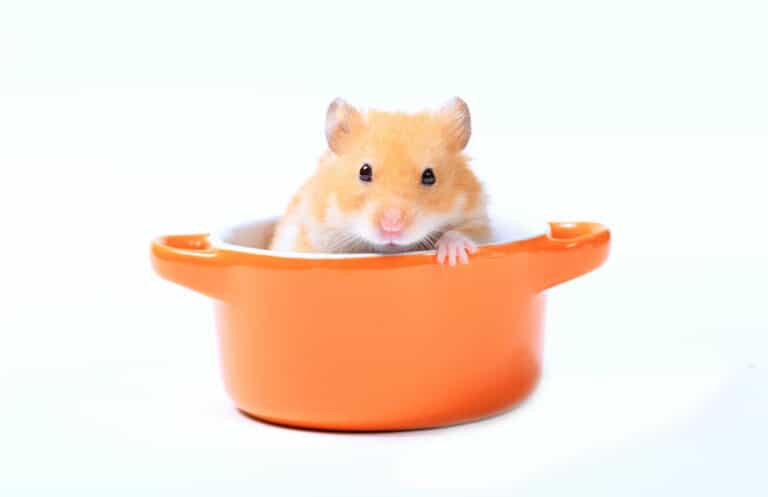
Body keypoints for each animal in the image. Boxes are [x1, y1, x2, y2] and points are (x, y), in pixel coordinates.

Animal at [268, 97, 492, 266]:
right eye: (364, 171)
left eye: (429, 176)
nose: (391, 226)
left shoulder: (478, 219)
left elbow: (467, 232)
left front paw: (453, 256)